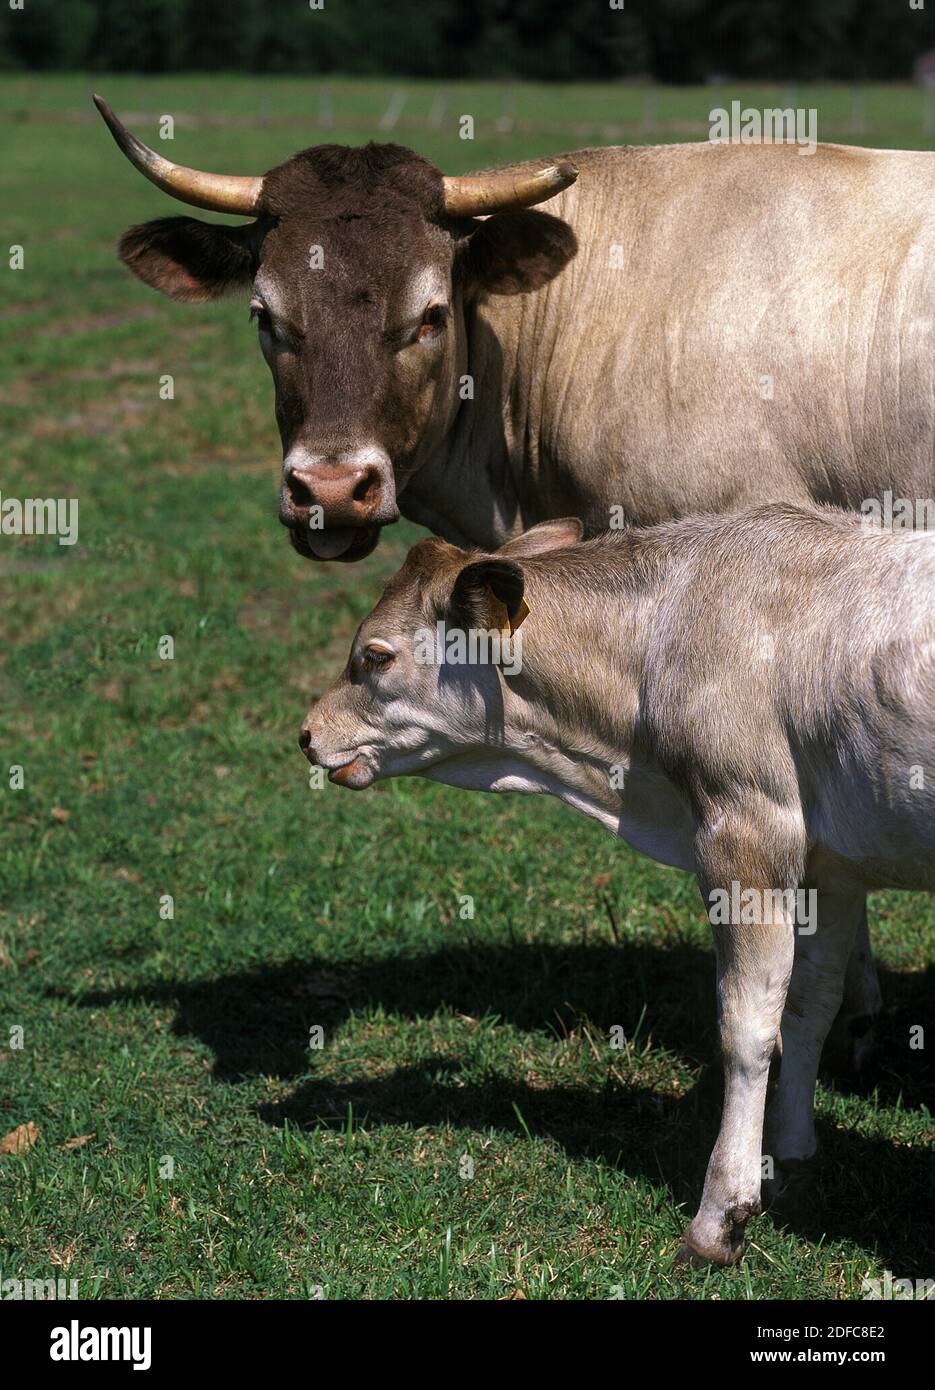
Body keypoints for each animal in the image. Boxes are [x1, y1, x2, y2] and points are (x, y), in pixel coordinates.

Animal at [298, 506, 935, 1266]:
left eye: (376, 655)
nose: (307, 732)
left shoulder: (745, 829)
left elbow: (747, 1026)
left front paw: (719, 1219)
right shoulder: (830, 862)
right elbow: (809, 1007)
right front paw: (788, 1162)